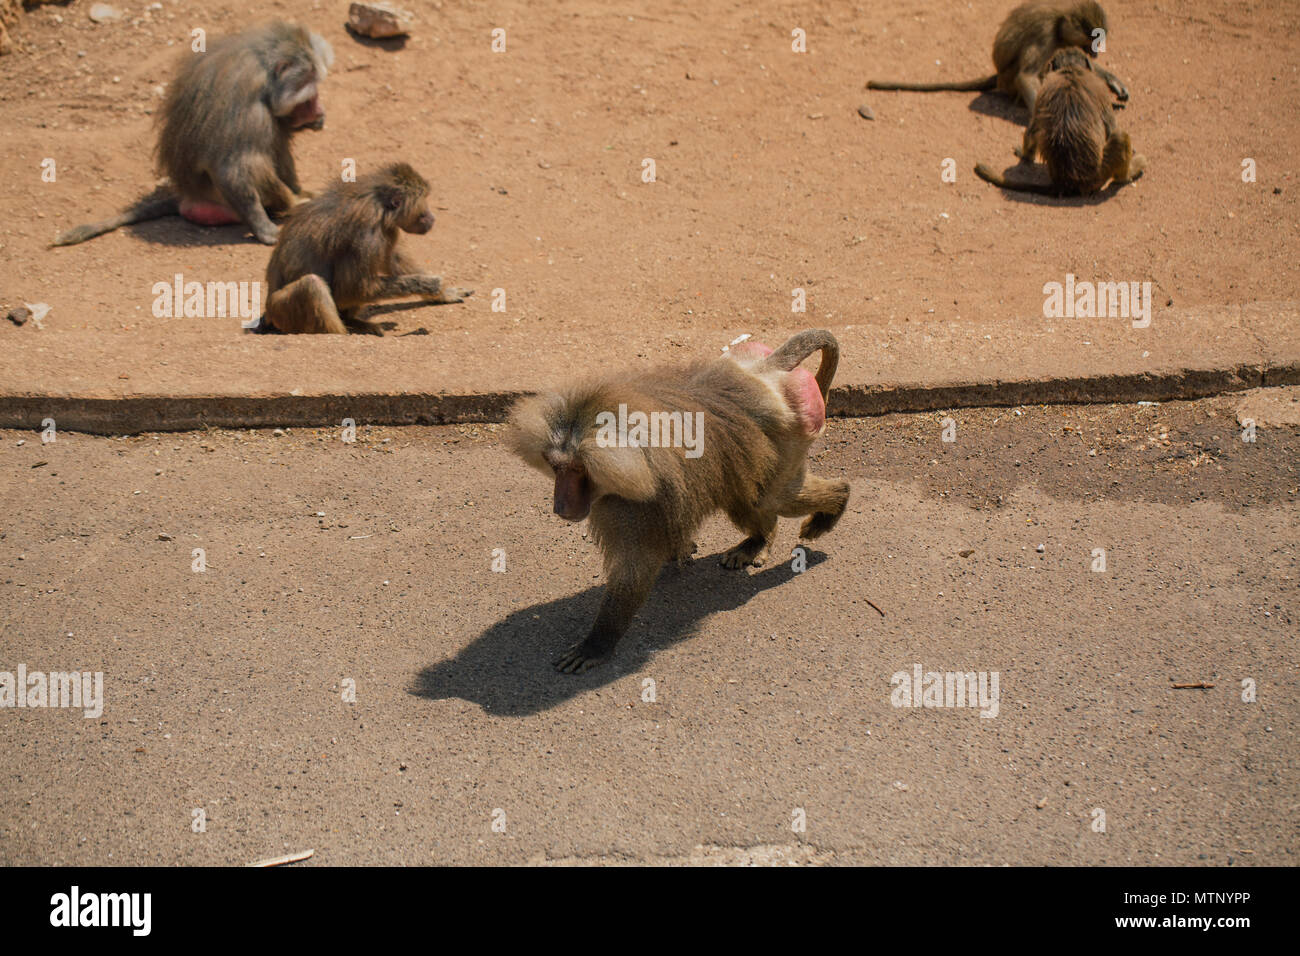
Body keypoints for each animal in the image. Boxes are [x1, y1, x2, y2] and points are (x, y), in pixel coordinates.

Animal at [53, 21, 332, 247]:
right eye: (310, 91)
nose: (320, 110)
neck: (264, 75)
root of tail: (188, 195)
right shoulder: (248, 111)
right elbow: (232, 169)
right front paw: (266, 231)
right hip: (219, 199)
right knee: (254, 161)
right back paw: (292, 204)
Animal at [255, 162, 471, 335]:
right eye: (423, 200)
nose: (432, 218)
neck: (379, 205)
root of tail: (268, 313)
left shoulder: (387, 231)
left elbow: (392, 261)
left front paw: (443, 293)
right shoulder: (367, 234)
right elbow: (353, 288)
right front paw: (430, 284)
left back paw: (354, 322)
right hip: (282, 310)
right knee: (313, 285)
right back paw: (344, 332)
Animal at [509, 329, 851, 674]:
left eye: (578, 469)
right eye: (557, 467)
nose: (560, 507)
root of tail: (764, 371)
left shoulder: (636, 506)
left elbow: (636, 569)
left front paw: (595, 646)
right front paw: (681, 549)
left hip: (788, 434)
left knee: (773, 499)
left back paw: (835, 504)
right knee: (750, 499)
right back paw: (758, 541)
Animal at [867, 1, 1128, 114]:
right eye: (1094, 39)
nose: (1096, 51)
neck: (1061, 18)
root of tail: (999, 76)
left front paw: (1113, 82)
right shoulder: (1044, 33)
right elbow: (1026, 76)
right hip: (1010, 82)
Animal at [974, 47, 1145, 195]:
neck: (1070, 70)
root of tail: (1067, 182)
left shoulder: (1043, 90)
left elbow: (1034, 126)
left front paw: (1025, 155)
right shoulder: (1100, 89)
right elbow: (1112, 127)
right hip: (1101, 173)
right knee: (1120, 136)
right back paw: (1127, 176)